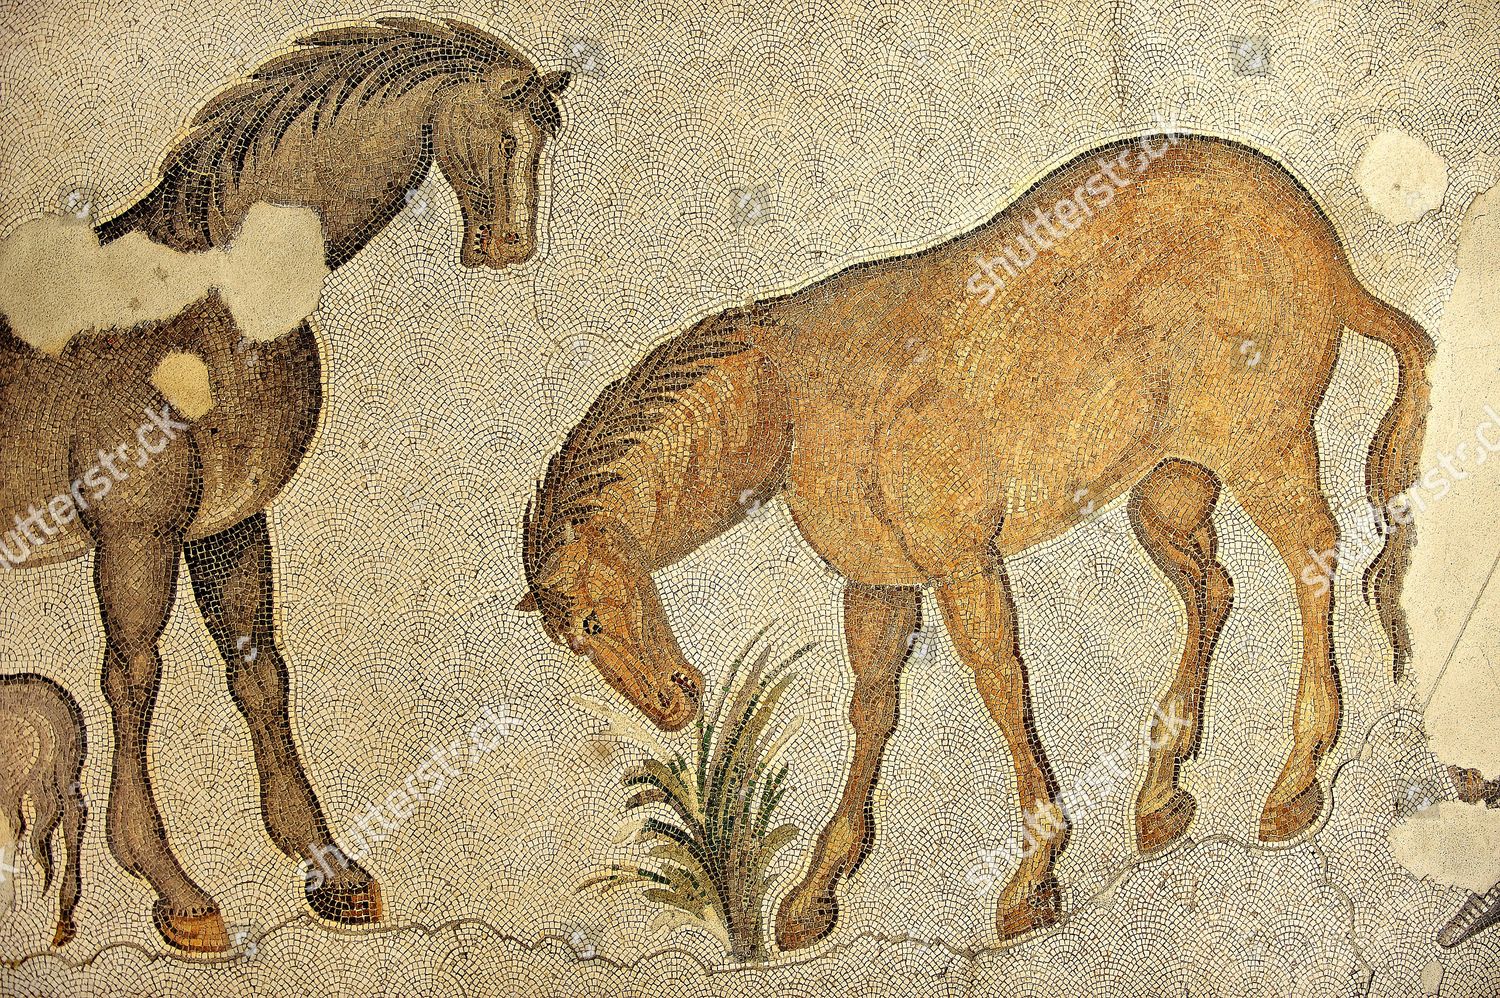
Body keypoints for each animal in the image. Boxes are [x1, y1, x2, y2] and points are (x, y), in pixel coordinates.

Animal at [0, 18, 569, 952]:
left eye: (544, 137)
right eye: (502, 131)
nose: (509, 246)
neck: (210, 302)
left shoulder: (228, 526)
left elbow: (258, 671)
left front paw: (329, 869)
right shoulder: (135, 536)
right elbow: (134, 677)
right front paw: (173, 887)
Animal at [517, 133, 1433, 949]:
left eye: (592, 617)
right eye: (573, 638)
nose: (671, 701)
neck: (796, 393)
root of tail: (1332, 261)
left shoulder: (963, 565)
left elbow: (1001, 684)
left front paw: (1031, 880)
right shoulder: (882, 585)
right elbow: (873, 708)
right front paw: (815, 895)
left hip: (1264, 451)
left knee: (1312, 559)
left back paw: (1296, 781)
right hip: (1170, 489)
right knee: (1214, 586)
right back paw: (1161, 795)